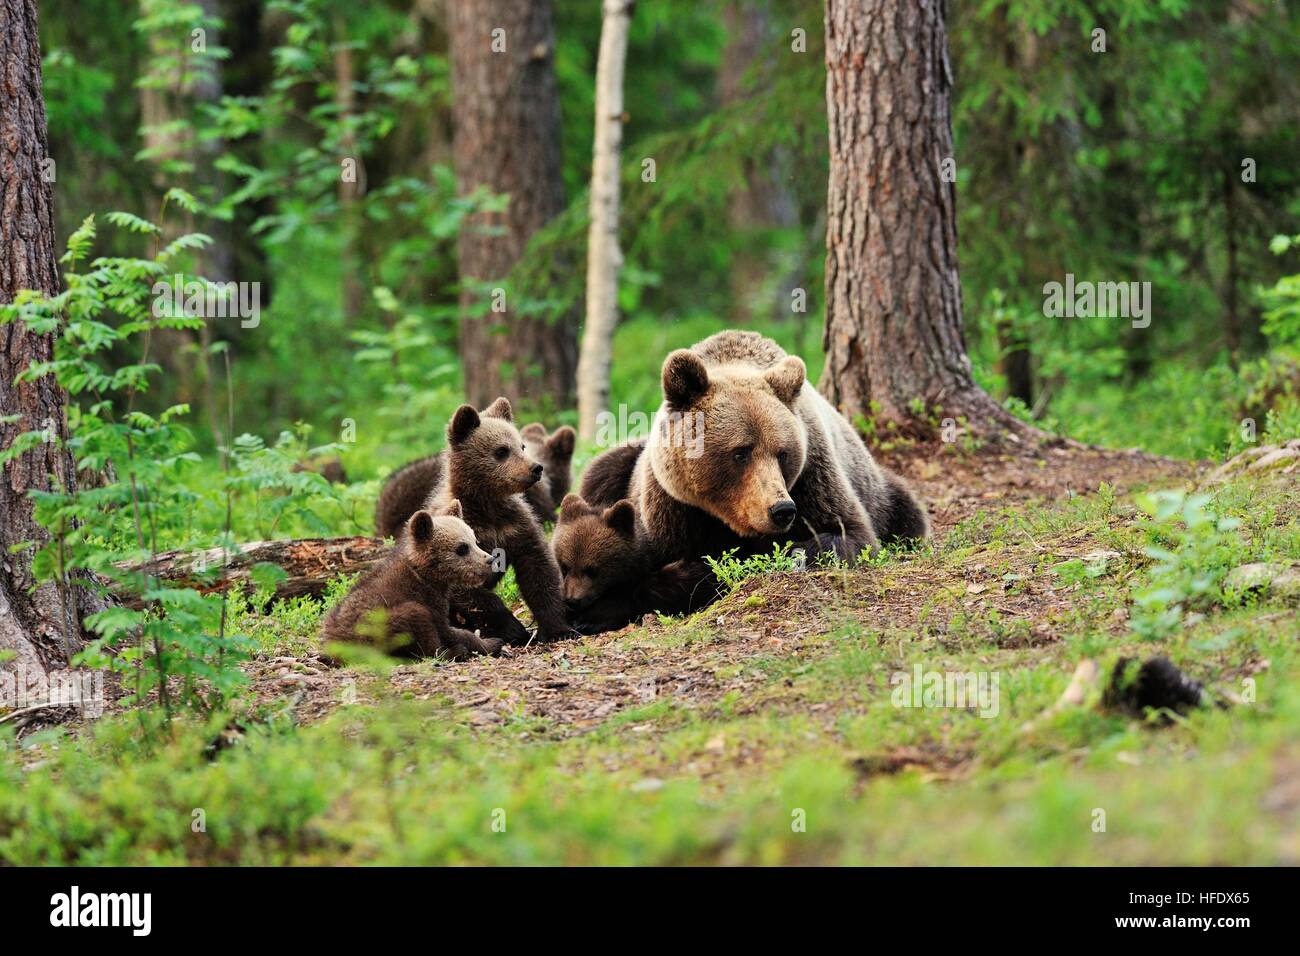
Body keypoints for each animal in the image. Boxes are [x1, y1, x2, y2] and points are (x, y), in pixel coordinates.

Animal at [319, 502, 505, 661]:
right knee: (417, 621)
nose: (490, 560)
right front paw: (492, 642)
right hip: (376, 627)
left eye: (475, 541)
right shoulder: (426, 598)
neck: (429, 576)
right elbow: (448, 630)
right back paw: (455, 651)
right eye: (462, 548)